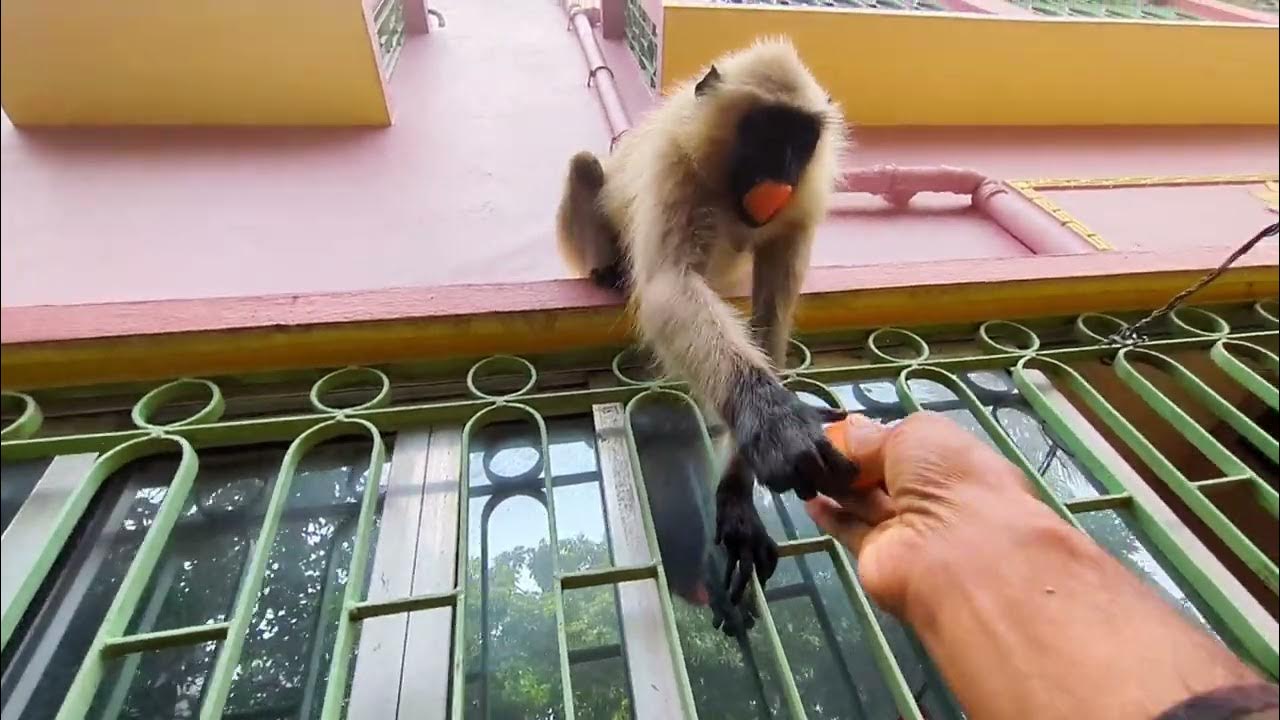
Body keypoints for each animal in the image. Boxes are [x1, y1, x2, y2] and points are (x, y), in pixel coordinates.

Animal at [556, 38, 857, 619]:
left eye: (800, 139)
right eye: (765, 131)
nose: (783, 170)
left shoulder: (796, 214)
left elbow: (767, 325)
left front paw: (737, 495)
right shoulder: (677, 164)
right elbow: (667, 289)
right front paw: (772, 420)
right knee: (585, 167)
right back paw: (608, 269)